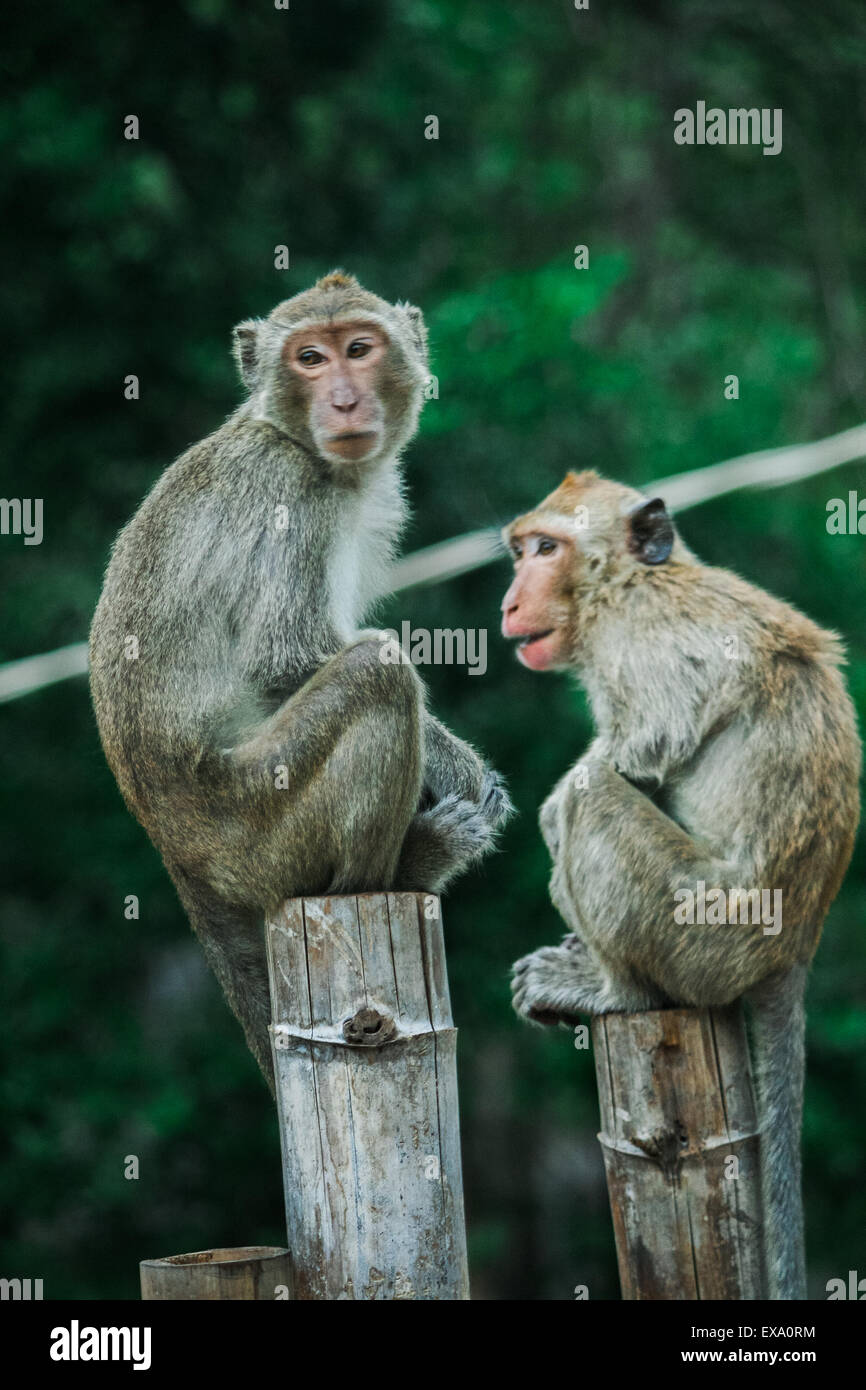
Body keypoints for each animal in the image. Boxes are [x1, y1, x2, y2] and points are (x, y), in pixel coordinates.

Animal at [89, 271, 510, 1097]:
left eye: (359, 348)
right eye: (310, 358)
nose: (343, 399)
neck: (291, 439)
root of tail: (173, 847)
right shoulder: (292, 496)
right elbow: (287, 656)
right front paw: (463, 771)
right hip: (257, 825)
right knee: (378, 677)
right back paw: (405, 869)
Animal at [501, 470, 860, 1300]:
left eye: (546, 549)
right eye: (520, 550)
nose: (508, 600)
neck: (632, 579)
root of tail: (797, 941)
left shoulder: (640, 637)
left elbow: (640, 750)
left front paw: (553, 814)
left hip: (700, 932)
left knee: (597, 795)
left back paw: (615, 989)